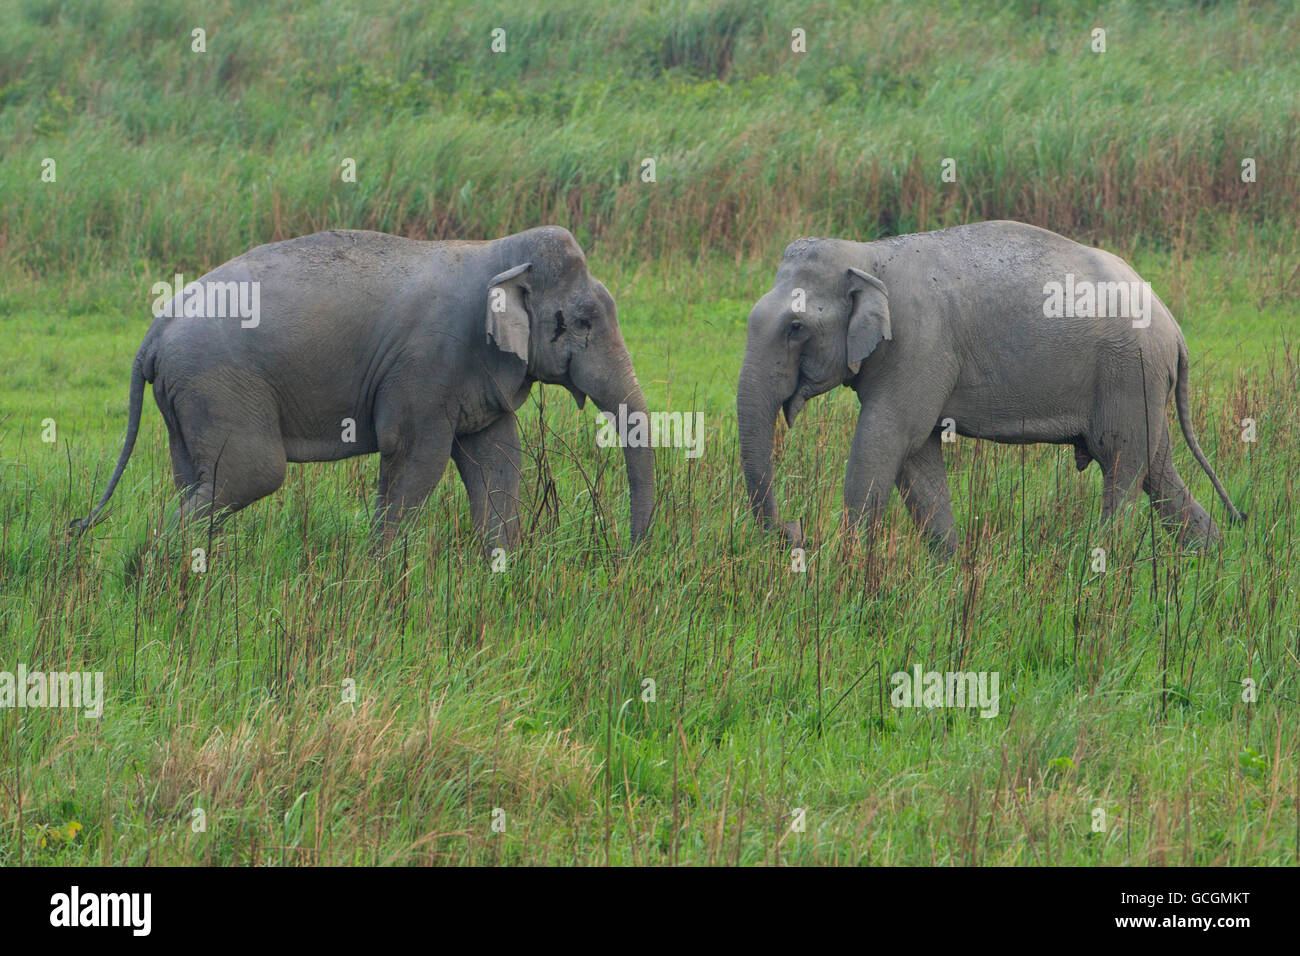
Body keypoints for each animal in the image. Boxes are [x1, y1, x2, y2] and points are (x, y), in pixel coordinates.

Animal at [72, 226, 655, 552]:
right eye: (579, 322)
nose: (628, 556)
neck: (499, 253)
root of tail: (154, 332)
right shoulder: (425, 366)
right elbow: (416, 461)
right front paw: (380, 578)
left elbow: (497, 459)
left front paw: (499, 572)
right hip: (217, 385)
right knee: (251, 473)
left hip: (185, 399)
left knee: (196, 480)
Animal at [737, 220, 1245, 556]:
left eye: (796, 328)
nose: (795, 530)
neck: (867, 256)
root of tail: (1174, 329)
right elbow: (917, 458)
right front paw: (947, 572)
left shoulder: (920, 346)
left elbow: (887, 439)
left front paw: (844, 568)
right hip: (1142, 384)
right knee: (1158, 470)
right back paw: (1213, 556)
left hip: (1127, 373)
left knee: (1122, 464)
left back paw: (1099, 560)